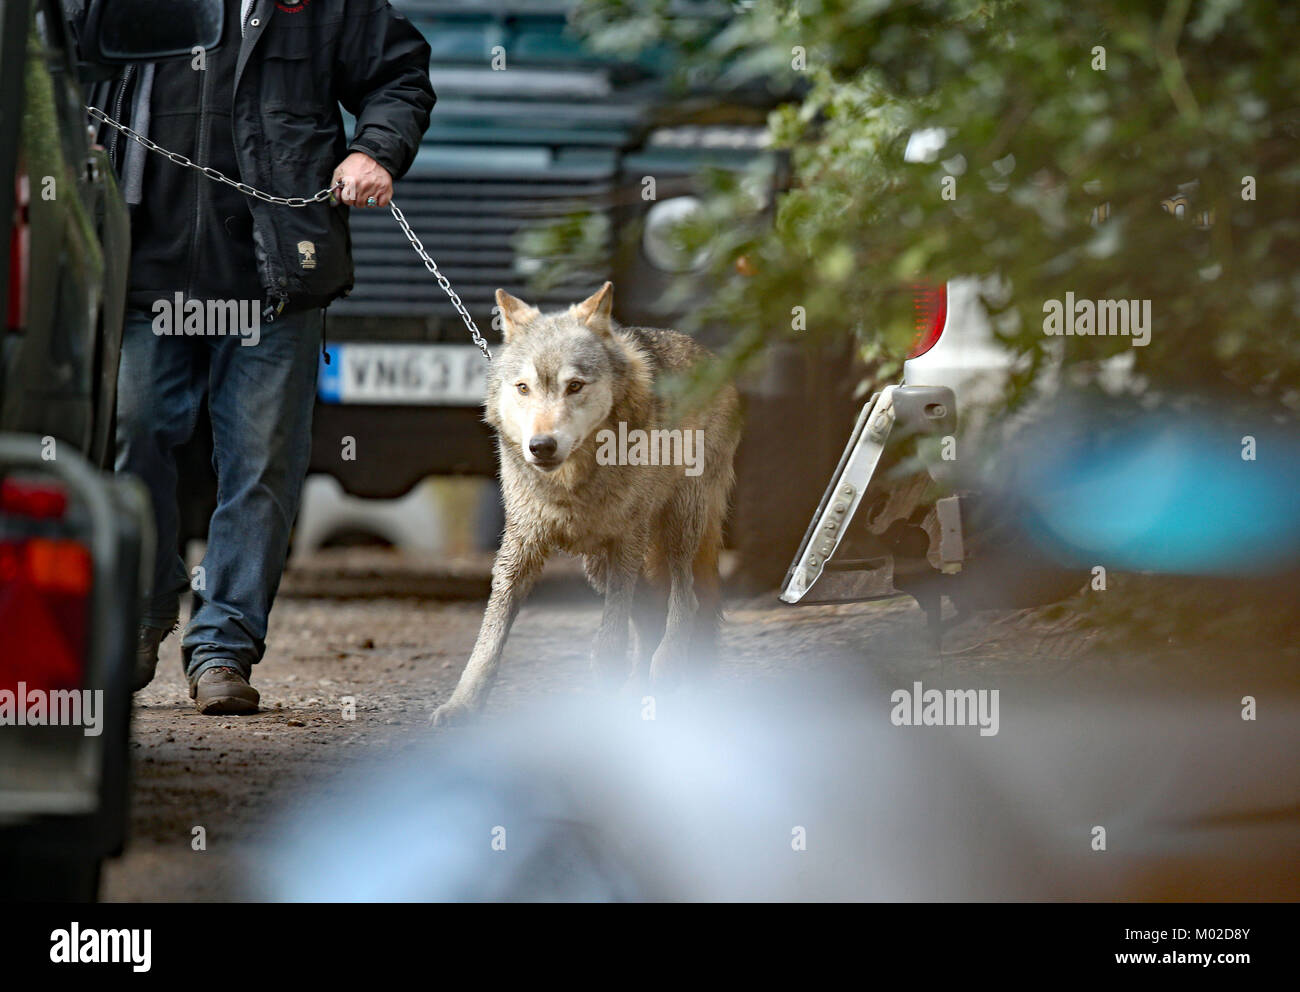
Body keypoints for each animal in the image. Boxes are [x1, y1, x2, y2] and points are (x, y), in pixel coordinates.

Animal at [432, 282, 740, 726]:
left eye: (574, 386)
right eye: (523, 388)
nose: (541, 446)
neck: (571, 486)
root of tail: (711, 357)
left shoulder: (627, 541)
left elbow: (610, 641)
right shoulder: (519, 549)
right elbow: (487, 640)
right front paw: (463, 704)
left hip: (677, 528)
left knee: (687, 597)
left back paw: (668, 669)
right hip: (602, 566)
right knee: (652, 615)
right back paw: (646, 691)